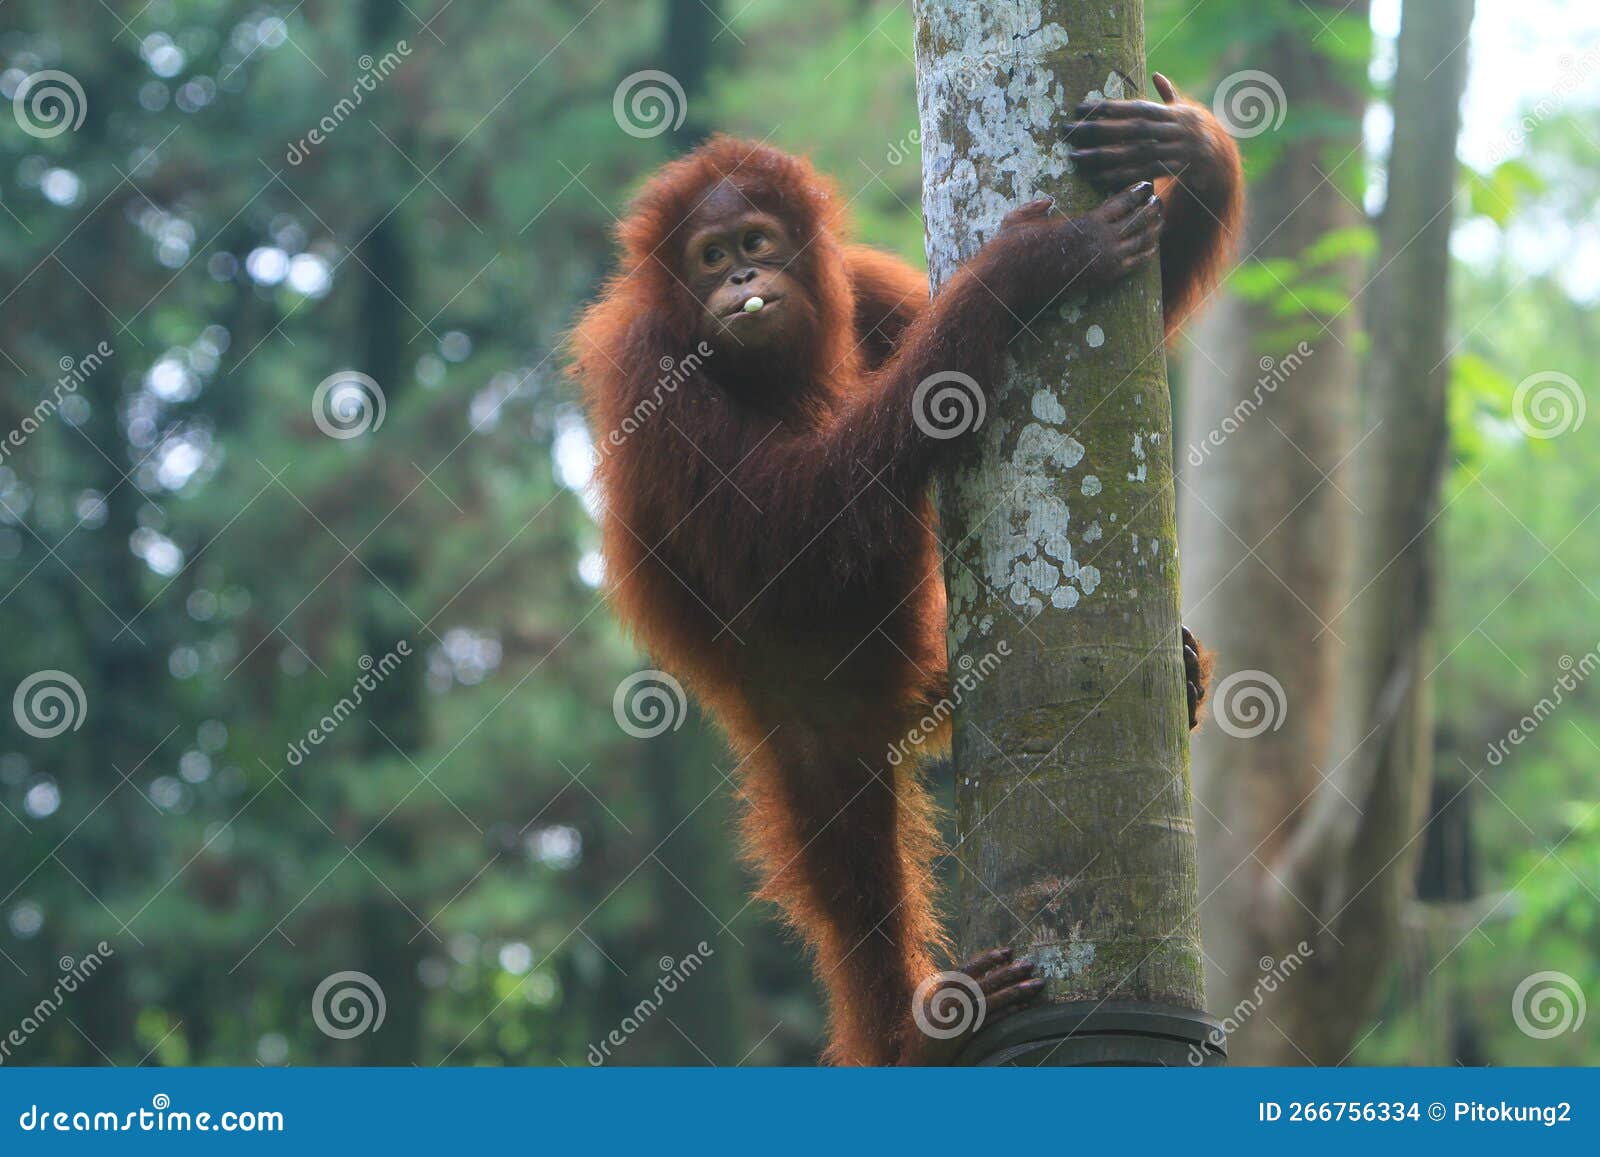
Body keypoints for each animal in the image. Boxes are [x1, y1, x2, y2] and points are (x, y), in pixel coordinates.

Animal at [569, 73, 1241, 1064]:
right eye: (708, 255)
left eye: (756, 243)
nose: (740, 281)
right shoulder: (648, 372)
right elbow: (783, 532)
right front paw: (1031, 264)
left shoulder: (868, 286)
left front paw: (1191, 144)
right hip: (804, 735)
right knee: (849, 870)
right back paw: (921, 1031)